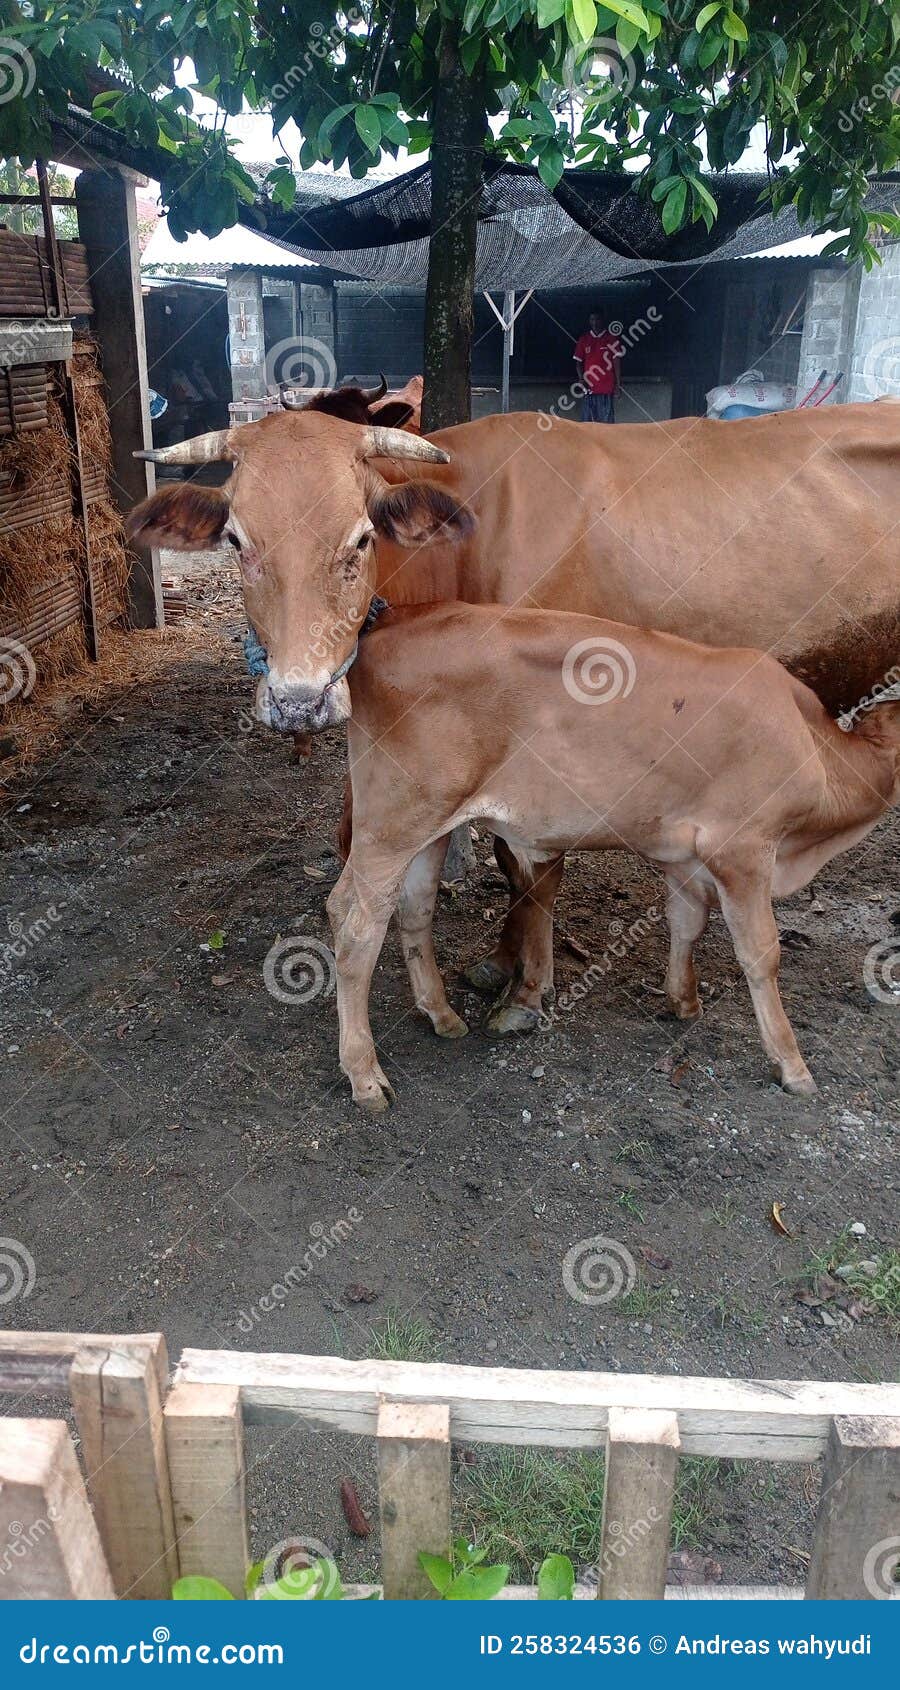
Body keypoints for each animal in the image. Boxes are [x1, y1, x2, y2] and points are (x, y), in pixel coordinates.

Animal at [128, 403, 900, 1025]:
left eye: (360, 538)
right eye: (237, 541)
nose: (298, 699)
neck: (470, 543)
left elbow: (532, 864)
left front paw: (526, 991)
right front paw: (504, 965)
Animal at [322, 601, 900, 1110]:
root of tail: (390, 624)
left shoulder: (684, 857)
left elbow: (685, 923)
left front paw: (683, 1000)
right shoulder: (743, 850)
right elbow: (761, 954)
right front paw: (791, 1064)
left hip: (426, 828)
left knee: (410, 908)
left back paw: (441, 1014)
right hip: (392, 825)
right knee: (355, 926)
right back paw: (364, 1074)